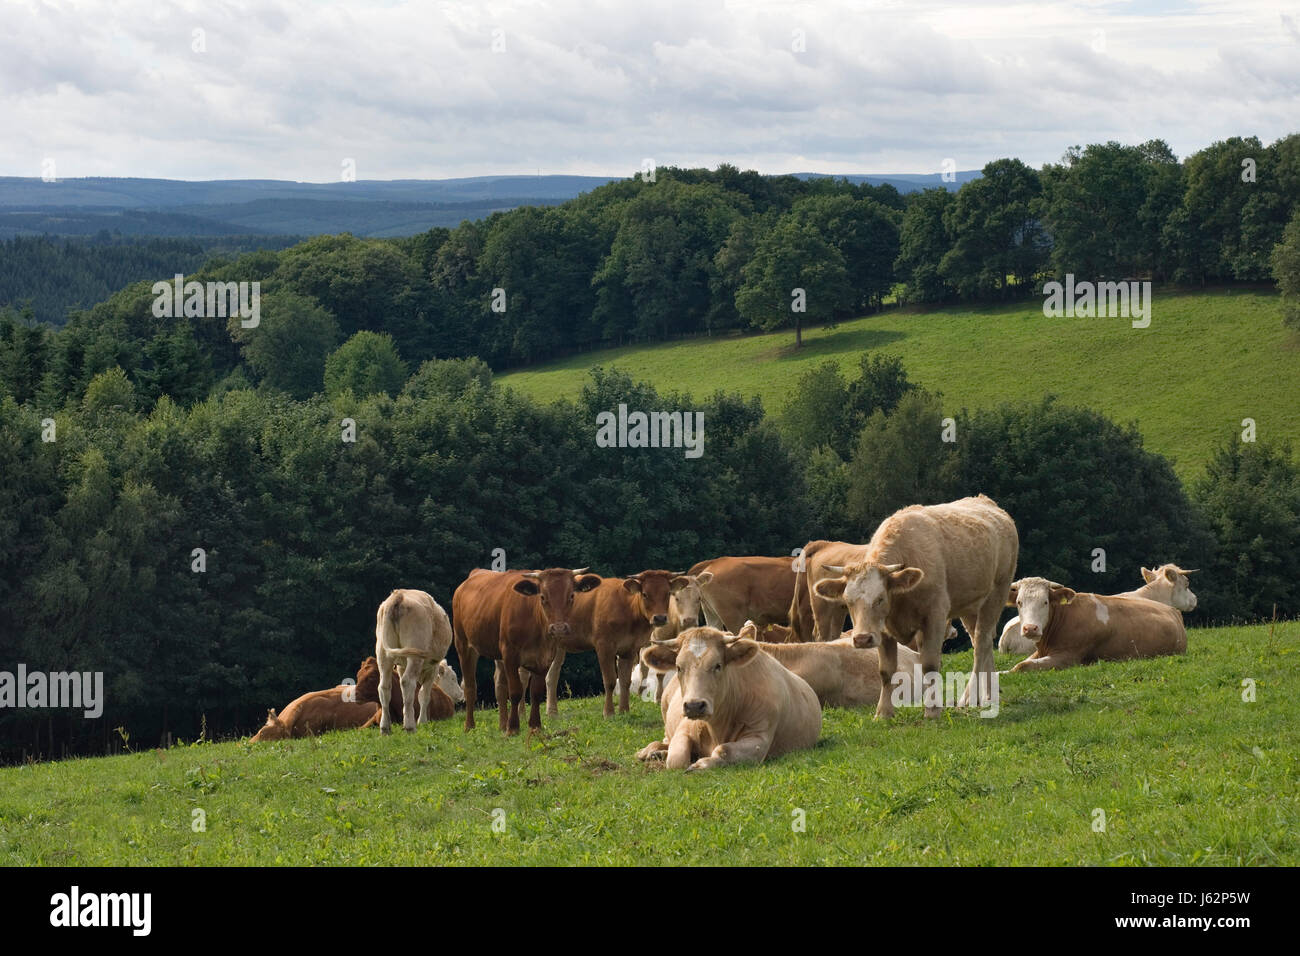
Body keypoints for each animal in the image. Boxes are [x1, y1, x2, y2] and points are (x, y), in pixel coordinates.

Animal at [374, 589, 454, 735]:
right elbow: (424, 695)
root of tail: (398, 595)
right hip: (415, 653)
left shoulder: (401, 666)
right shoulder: (433, 668)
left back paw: (385, 727)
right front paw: (422, 721)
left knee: (384, 686)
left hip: (383, 653)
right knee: (408, 682)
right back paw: (410, 726)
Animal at [451, 567, 600, 735]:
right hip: (463, 644)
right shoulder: (510, 654)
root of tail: (476, 573)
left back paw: (502, 724)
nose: (559, 628)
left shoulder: (545, 658)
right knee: (470, 686)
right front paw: (513, 728)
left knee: (499, 684)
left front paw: (535, 726)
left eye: (571, 596)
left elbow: (536, 693)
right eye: (542, 597)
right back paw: (469, 726)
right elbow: (515, 691)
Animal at [635, 625, 821, 771]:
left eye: (718, 665)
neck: (717, 725)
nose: (694, 706)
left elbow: (723, 750)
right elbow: (677, 760)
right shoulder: (684, 728)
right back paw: (652, 751)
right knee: (665, 740)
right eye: (679, 667)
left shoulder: (759, 739)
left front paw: (701, 764)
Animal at [812, 494, 1019, 718]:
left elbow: (929, 665)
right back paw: (989, 694)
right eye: (848, 601)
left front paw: (932, 710)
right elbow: (886, 671)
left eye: (880, 598)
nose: (862, 639)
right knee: (984, 641)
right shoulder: (882, 629)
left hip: (997, 592)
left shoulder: (935, 617)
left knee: (981, 644)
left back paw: (969, 697)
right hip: (971, 606)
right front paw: (883, 713)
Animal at [1006, 577, 1187, 671]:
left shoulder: (1068, 657)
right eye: (1019, 602)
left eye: (1045, 602)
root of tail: (1172, 609)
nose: (1030, 628)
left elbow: (1022, 665)